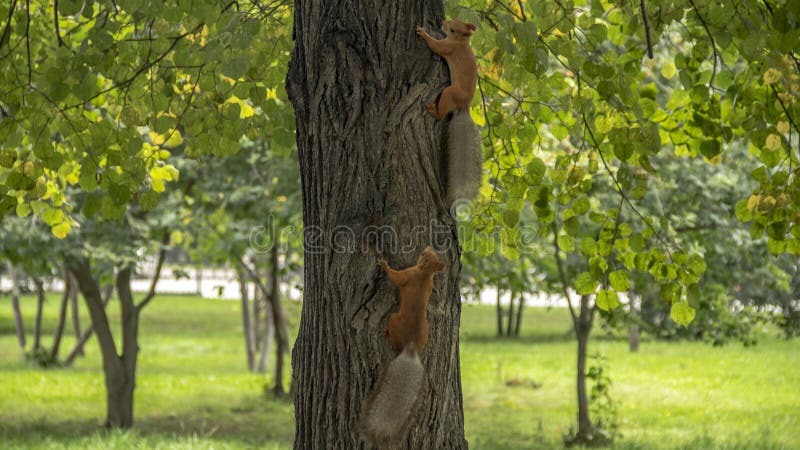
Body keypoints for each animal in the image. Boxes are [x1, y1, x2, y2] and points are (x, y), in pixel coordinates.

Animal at [360, 246, 445, 448]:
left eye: (424, 255)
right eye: (431, 254)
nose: (427, 247)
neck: (424, 274)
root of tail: (411, 344)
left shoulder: (408, 274)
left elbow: (395, 278)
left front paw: (384, 264)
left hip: (393, 319)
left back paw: (384, 332)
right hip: (426, 329)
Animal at [417, 19, 483, 205]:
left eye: (452, 29)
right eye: (455, 20)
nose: (443, 23)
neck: (461, 42)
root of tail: (464, 106)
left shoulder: (448, 48)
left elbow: (435, 46)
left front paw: (423, 33)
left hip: (449, 93)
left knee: (441, 112)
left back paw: (433, 110)